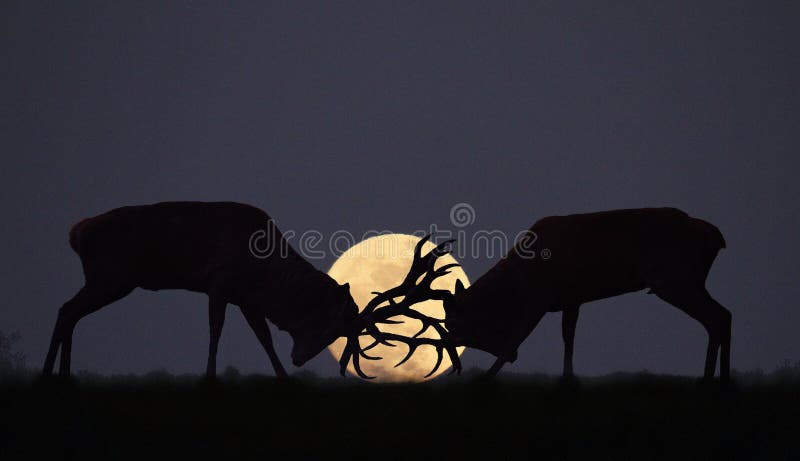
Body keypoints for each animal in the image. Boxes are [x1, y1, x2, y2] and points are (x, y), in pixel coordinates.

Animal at [43, 201, 360, 378]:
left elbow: (264, 338)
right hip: (110, 277)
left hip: (106, 280)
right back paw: (49, 373)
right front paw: (209, 374)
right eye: (328, 327)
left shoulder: (246, 299)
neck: (265, 275)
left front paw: (283, 376)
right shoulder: (219, 284)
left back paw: (63, 374)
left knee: (70, 312)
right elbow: (216, 329)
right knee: (67, 310)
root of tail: (76, 233)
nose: (299, 359)